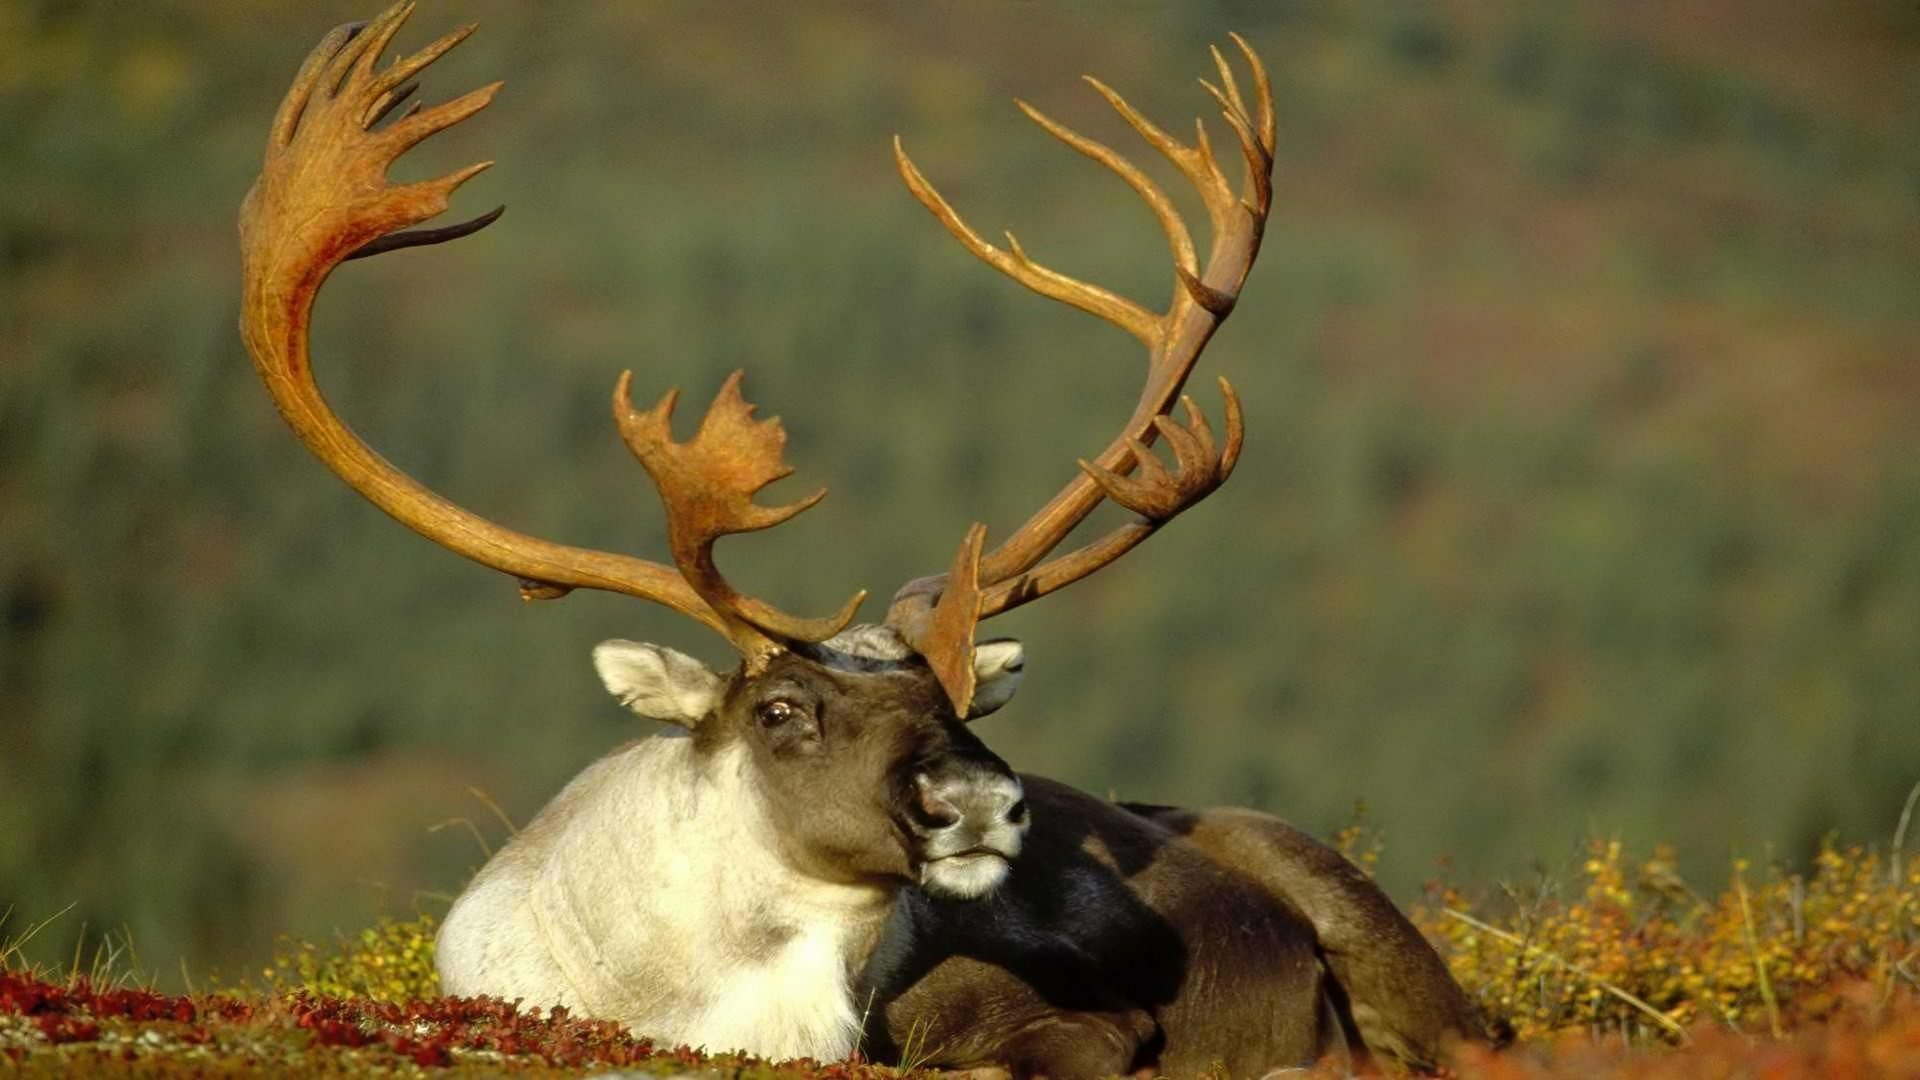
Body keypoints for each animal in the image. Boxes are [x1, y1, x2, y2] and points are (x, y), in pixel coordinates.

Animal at [238, 4, 1504, 1076]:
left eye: (958, 696)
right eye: (781, 710)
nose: (983, 803)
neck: (700, 1002)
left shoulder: (1081, 1024)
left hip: (1360, 908)